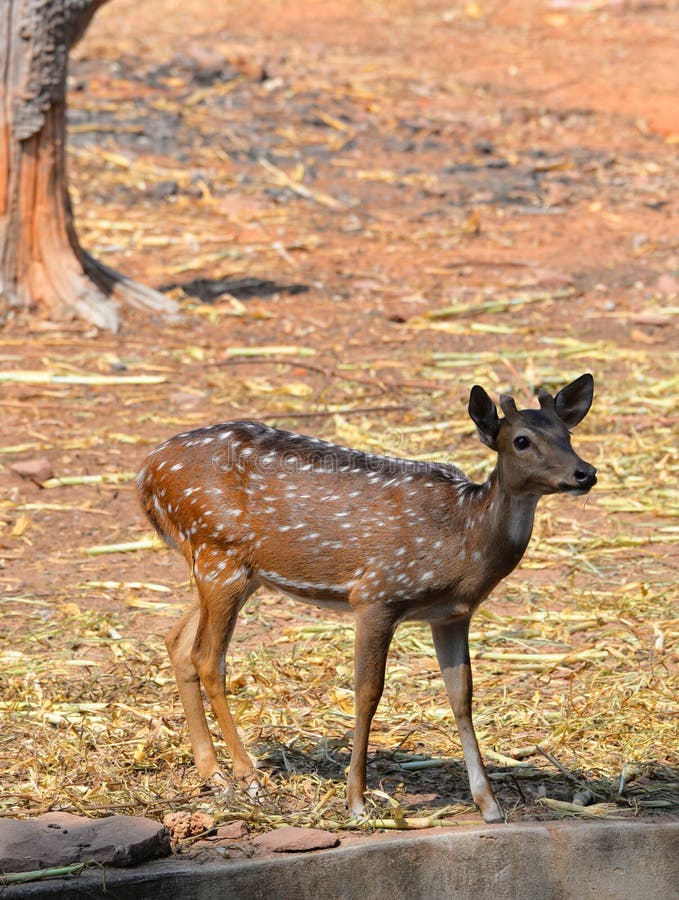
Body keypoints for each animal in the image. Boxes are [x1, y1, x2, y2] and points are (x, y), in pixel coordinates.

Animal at [136, 373, 596, 824]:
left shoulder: (450, 615)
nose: (585, 472)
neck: (466, 543)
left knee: (177, 641)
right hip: (218, 554)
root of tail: (146, 472)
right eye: (521, 440)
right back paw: (248, 777)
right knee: (207, 657)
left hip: (230, 569)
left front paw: (489, 805)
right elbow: (367, 693)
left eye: (568, 433)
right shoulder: (378, 594)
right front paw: (356, 800)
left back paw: (212, 771)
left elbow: (461, 697)